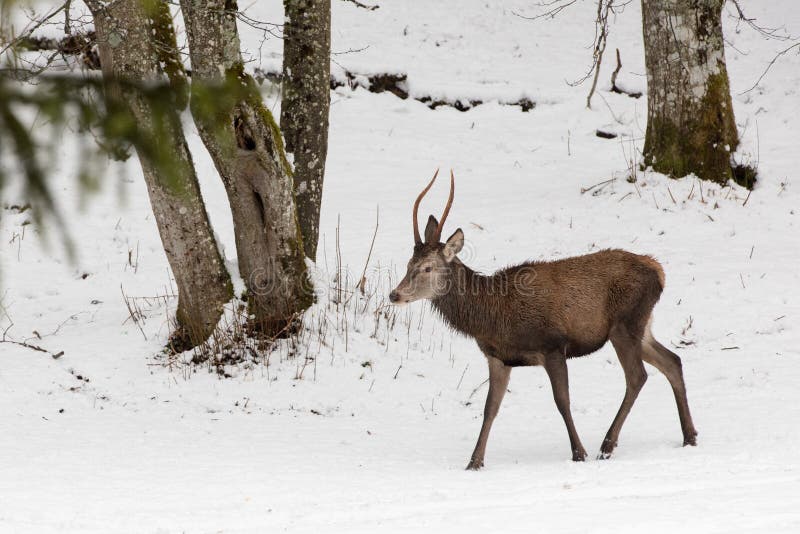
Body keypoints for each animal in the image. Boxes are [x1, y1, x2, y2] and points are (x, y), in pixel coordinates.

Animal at [389, 170, 698, 470]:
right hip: (642, 326)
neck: (492, 317)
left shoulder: (552, 346)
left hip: (625, 323)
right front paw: (474, 462)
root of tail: (658, 271)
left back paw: (606, 446)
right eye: (408, 264)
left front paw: (578, 453)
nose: (394, 294)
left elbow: (562, 401)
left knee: (637, 376)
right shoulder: (498, 358)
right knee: (673, 361)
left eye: (427, 268)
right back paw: (689, 436)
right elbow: (490, 409)